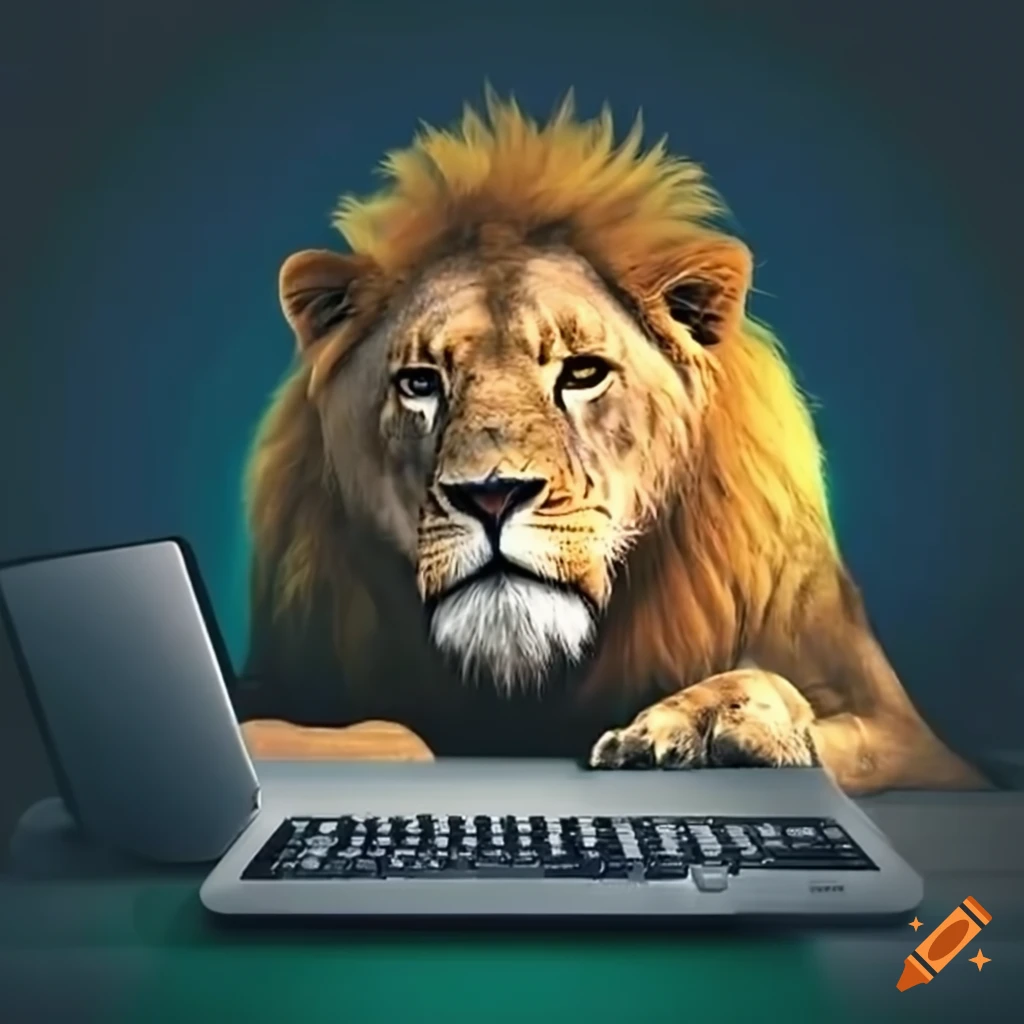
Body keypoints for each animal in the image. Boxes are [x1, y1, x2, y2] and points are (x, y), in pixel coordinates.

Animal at [237, 91, 988, 795]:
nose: (492, 496)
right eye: (420, 383)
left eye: (583, 372)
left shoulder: (911, 737)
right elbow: (386, 735)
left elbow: (785, 696)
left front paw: (698, 726)